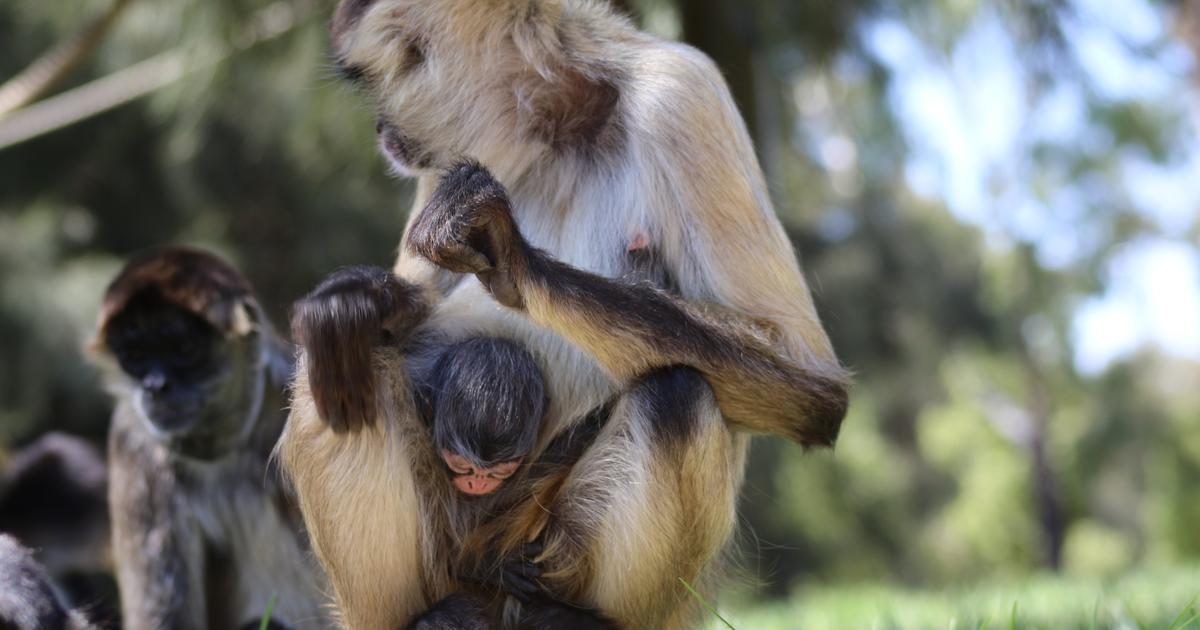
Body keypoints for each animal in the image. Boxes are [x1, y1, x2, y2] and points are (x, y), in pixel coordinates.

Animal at [280, 0, 852, 628]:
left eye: (372, 82)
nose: (380, 131)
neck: (563, 123)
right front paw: (360, 300)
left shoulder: (680, 90)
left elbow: (815, 390)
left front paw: (512, 257)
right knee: (339, 361)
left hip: (544, 544)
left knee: (680, 395)